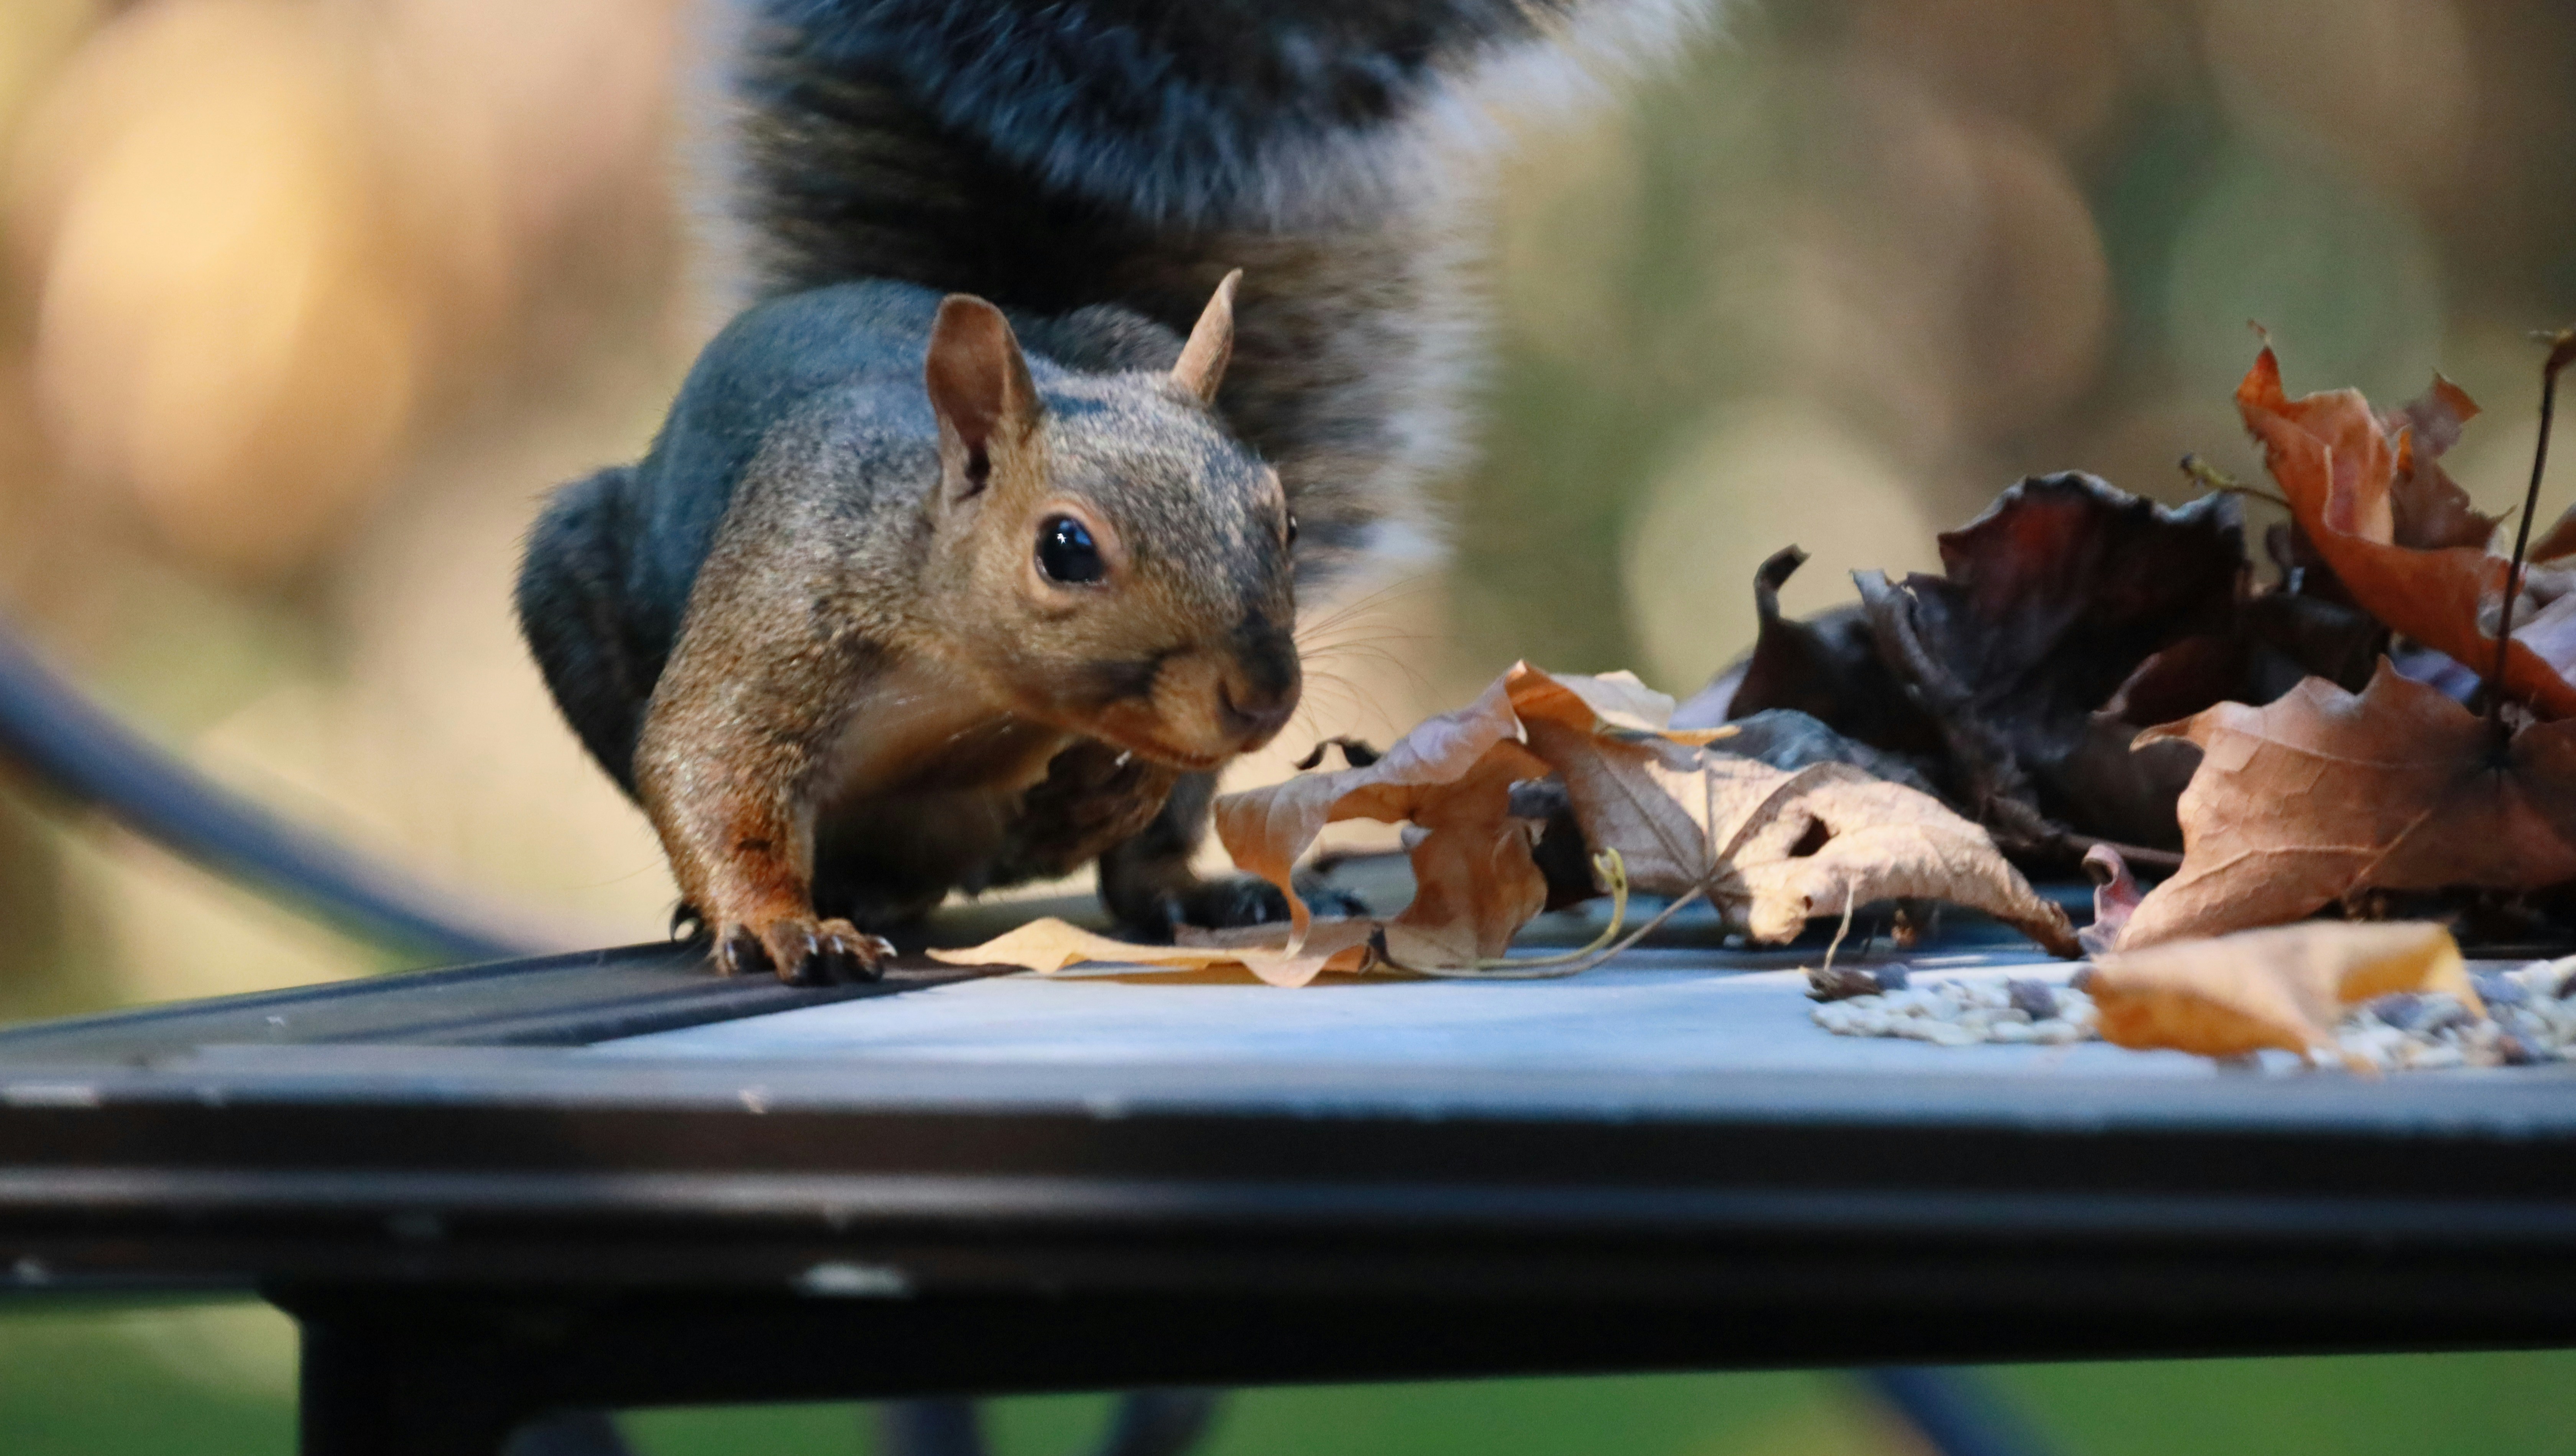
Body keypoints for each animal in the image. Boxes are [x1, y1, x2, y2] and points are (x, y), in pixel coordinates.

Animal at [514, 0, 1705, 984]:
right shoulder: (789, 586)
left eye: (1287, 517)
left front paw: (1112, 788)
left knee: (1127, 872)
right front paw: (780, 924)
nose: (1264, 695)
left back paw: (1185, 885)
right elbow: (709, 761)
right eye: (1066, 550)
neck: (972, 684)